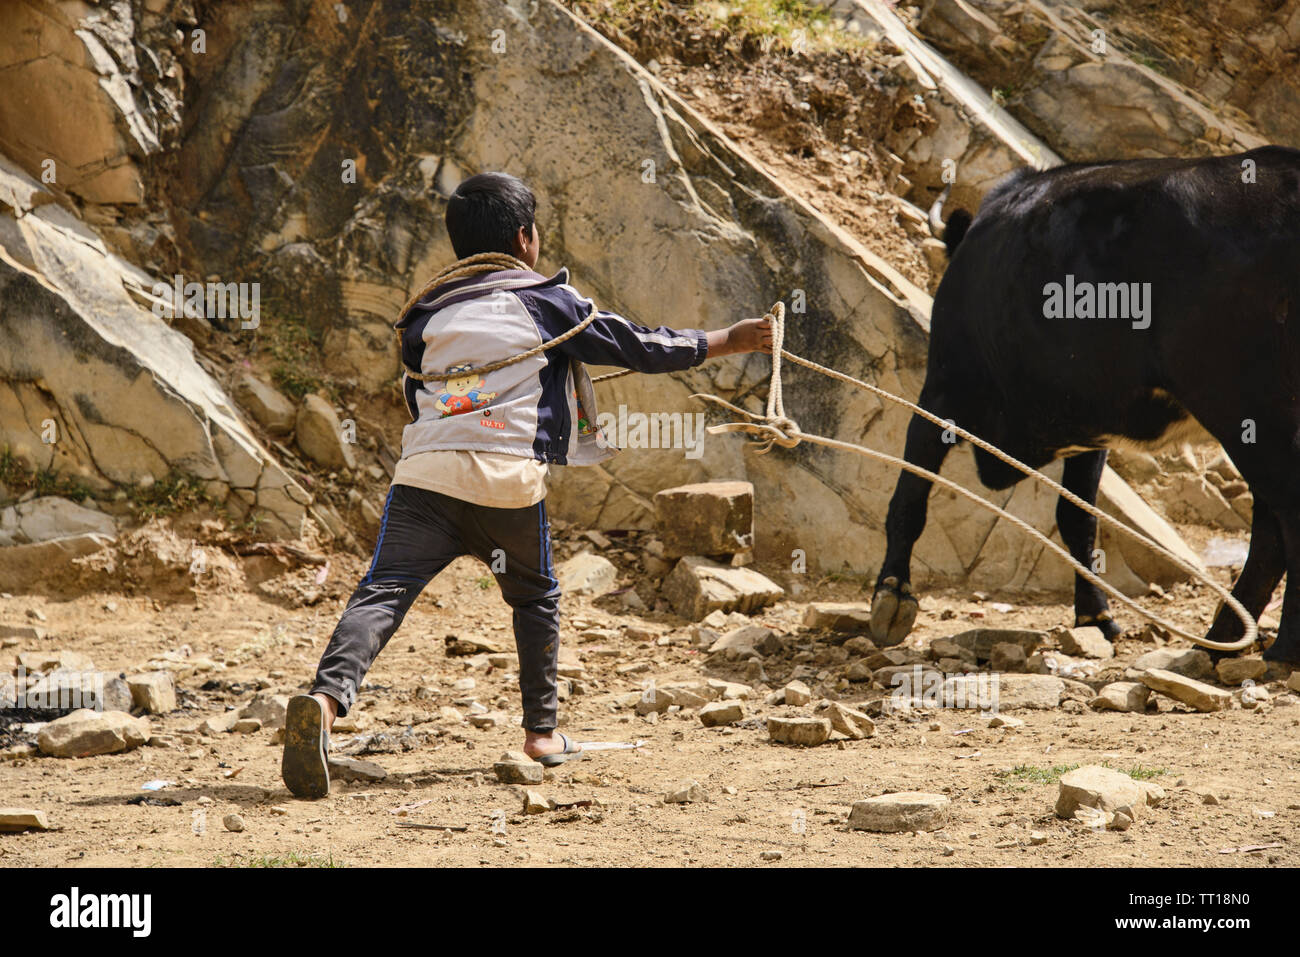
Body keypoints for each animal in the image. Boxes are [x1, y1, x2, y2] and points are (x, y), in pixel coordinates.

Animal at [869, 146, 1300, 664]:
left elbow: (909, 496)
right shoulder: (1090, 430)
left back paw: (1282, 648)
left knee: (1286, 518)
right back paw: (1220, 643)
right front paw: (1095, 616)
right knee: (1271, 529)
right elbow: (1077, 518)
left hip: (1244, 408)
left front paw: (891, 597)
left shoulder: (942, 391)